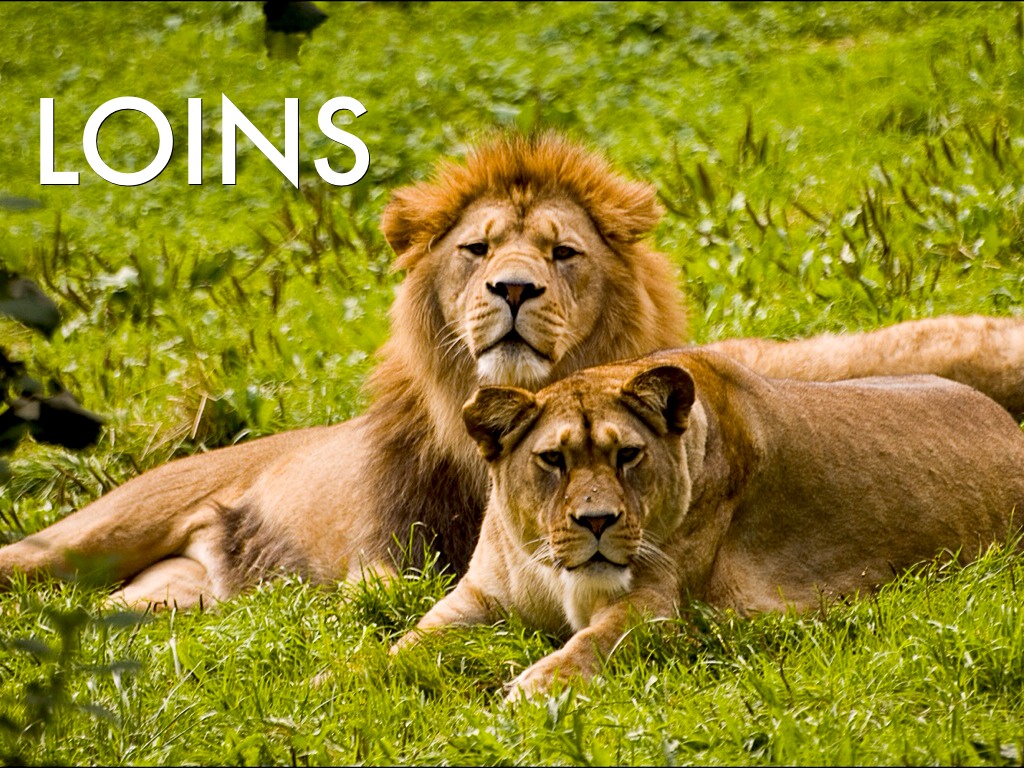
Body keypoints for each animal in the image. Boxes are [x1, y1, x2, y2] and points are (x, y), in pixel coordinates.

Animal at [1, 132, 1023, 610]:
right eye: (479, 246)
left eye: (563, 252)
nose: (516, 287)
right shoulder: (411, 536)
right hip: (94, 536)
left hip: (168, 600)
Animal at [395, 350, 1024, 698]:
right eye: (553, 460)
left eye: (628, 455)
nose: (597, 521)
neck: (556, 573)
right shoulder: (479, 598)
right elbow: (405, 645)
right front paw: (366, 677)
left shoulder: (659, 607)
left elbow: (593, 643)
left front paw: (534, 689)